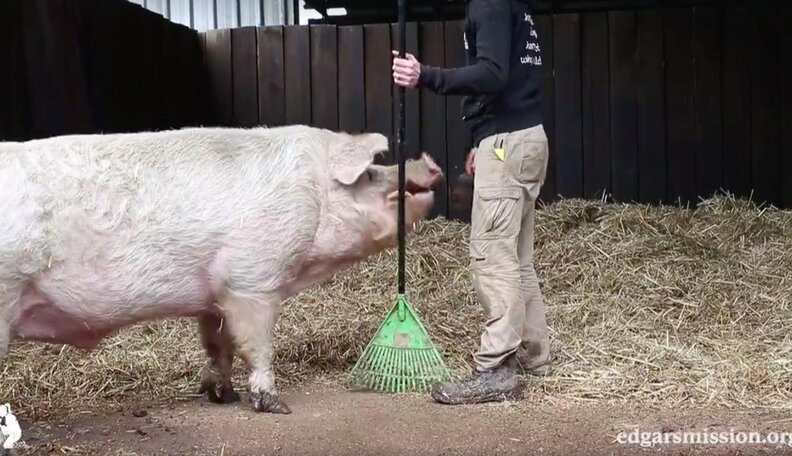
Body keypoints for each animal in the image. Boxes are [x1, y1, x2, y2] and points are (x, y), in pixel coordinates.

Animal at [0, 124, 442, 414]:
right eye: (370, 172)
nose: (429, 162)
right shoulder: (252, 281)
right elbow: (257, 345)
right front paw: (275, 405)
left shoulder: (216, 296)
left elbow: (219, 345)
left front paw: (222, 396)